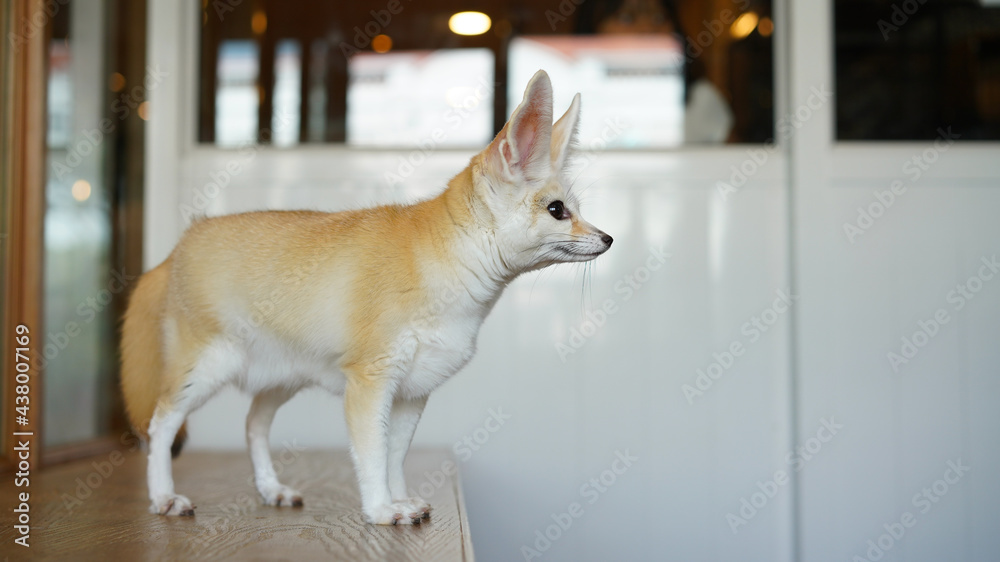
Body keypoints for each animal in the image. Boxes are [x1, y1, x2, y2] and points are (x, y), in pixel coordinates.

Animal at [120, 70, 612, 525]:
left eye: (577, 209)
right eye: (557, 211)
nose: (608, 239)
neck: (440, 270)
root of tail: (180, 243)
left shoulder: (413, 391)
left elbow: (394, 457)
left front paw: (400, 501)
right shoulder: (370, 382)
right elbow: (372, 457)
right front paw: (379, 510)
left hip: (280, 380)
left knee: (253, 426)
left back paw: (271, 489)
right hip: (203, 372)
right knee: (160, 425)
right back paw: (163, 496)